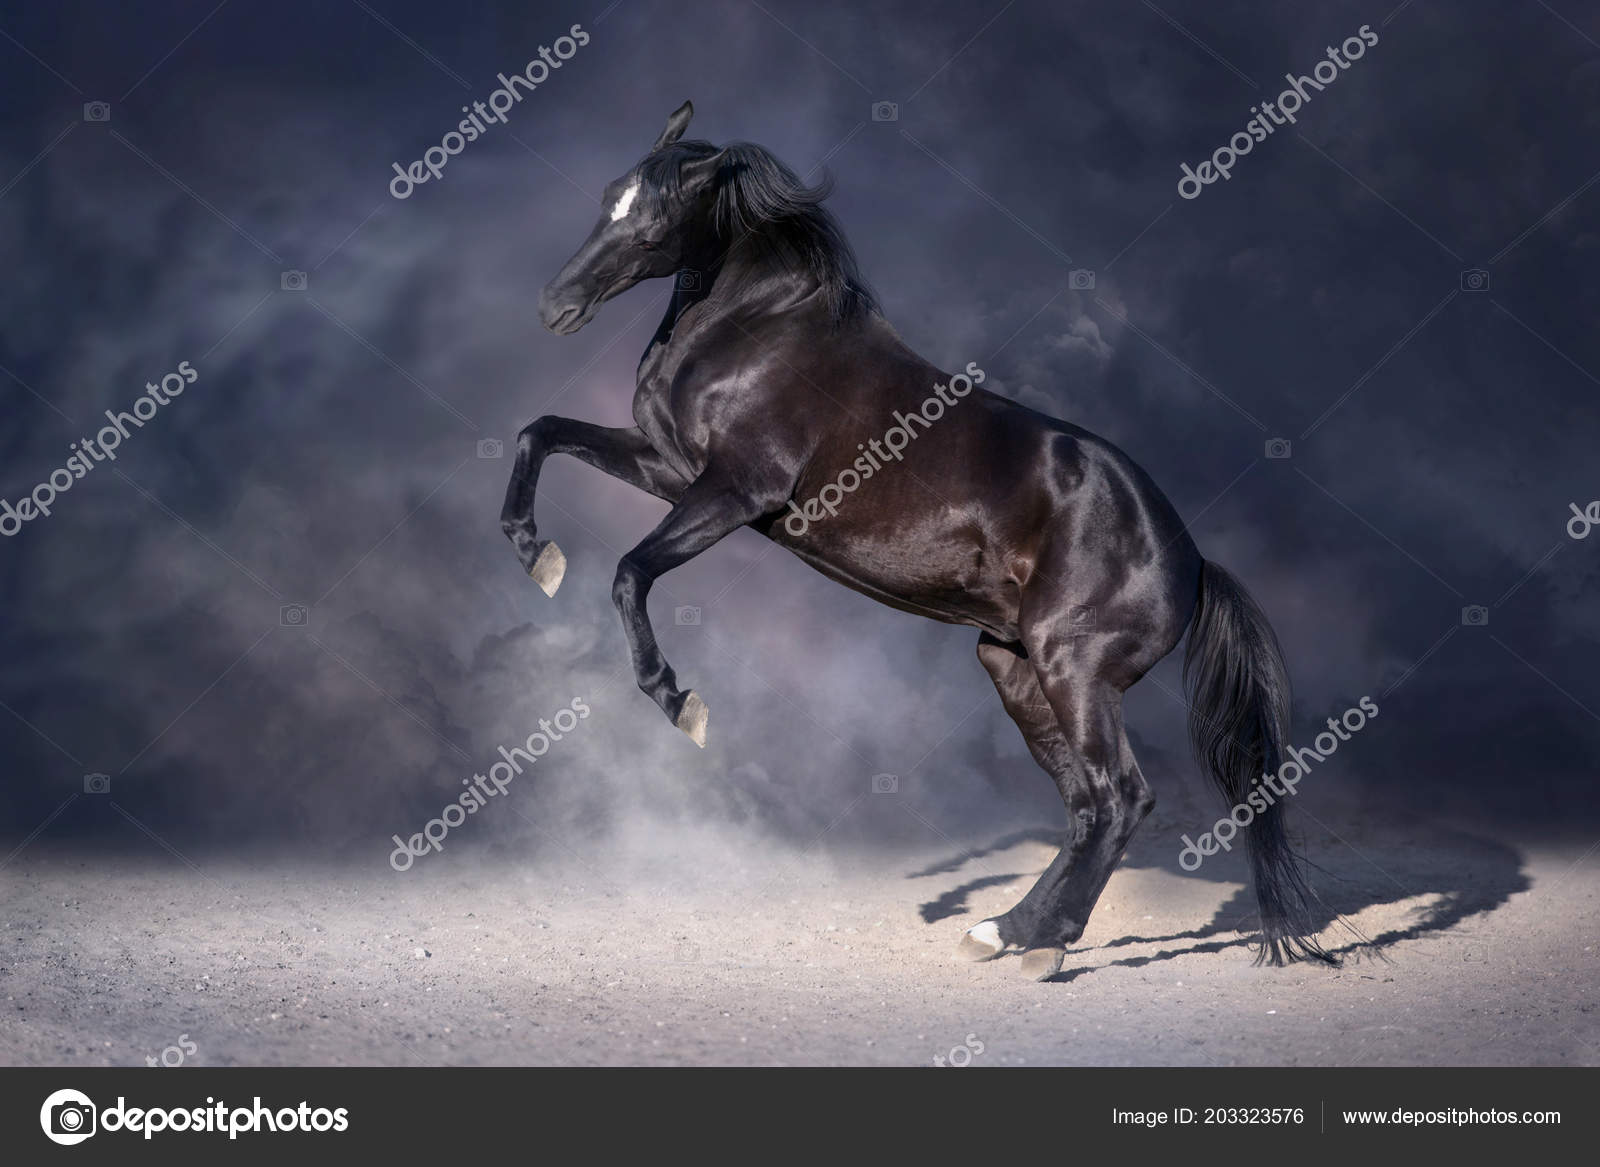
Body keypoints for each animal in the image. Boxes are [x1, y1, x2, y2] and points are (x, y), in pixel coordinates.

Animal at [503, 101, 1333, 979]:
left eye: (655, 219)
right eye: (608, 197)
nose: (554, 305)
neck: (759, 334)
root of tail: (1190, 559)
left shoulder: (733, 491)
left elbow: (630, 572)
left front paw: (678, 700)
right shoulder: (669, 469)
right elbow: (539, 432)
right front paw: (536, 555)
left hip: (1075, 672)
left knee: (1120, 800)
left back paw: (1034, 940)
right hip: (1015, 668)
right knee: (1084, 807)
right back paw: (1010, 933)